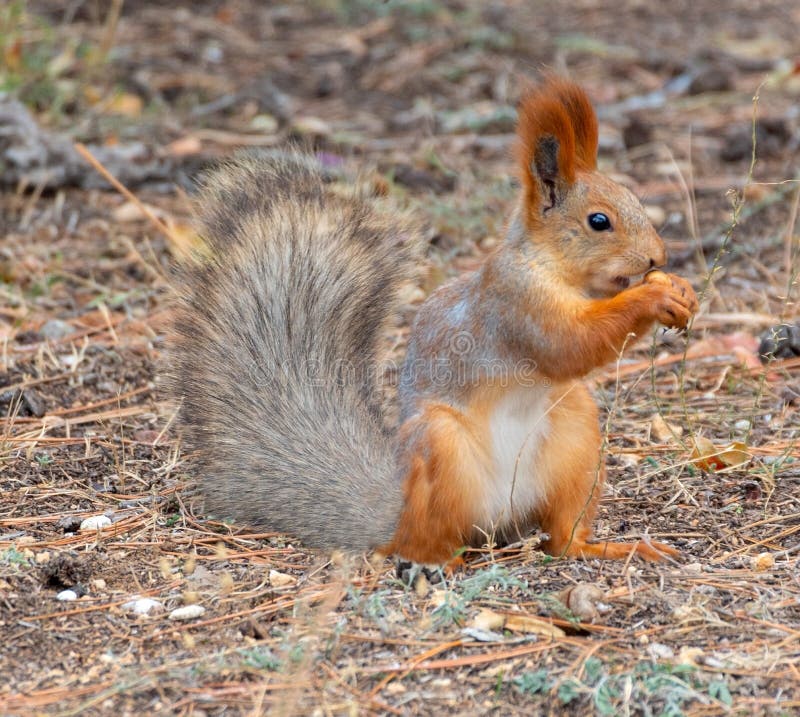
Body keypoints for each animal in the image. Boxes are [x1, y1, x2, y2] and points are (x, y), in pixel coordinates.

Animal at [168, 78, 699, 568]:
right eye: (599, 221)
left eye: (634, 197)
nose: (658, 257)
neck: (554, 270)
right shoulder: (513, 304)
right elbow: (567, 344)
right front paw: (653, 295)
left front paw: (681, 290)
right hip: (443, 447)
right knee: (427, 538)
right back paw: (441, 561)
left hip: (575, 433)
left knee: (562, 539)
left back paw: (611, 547)